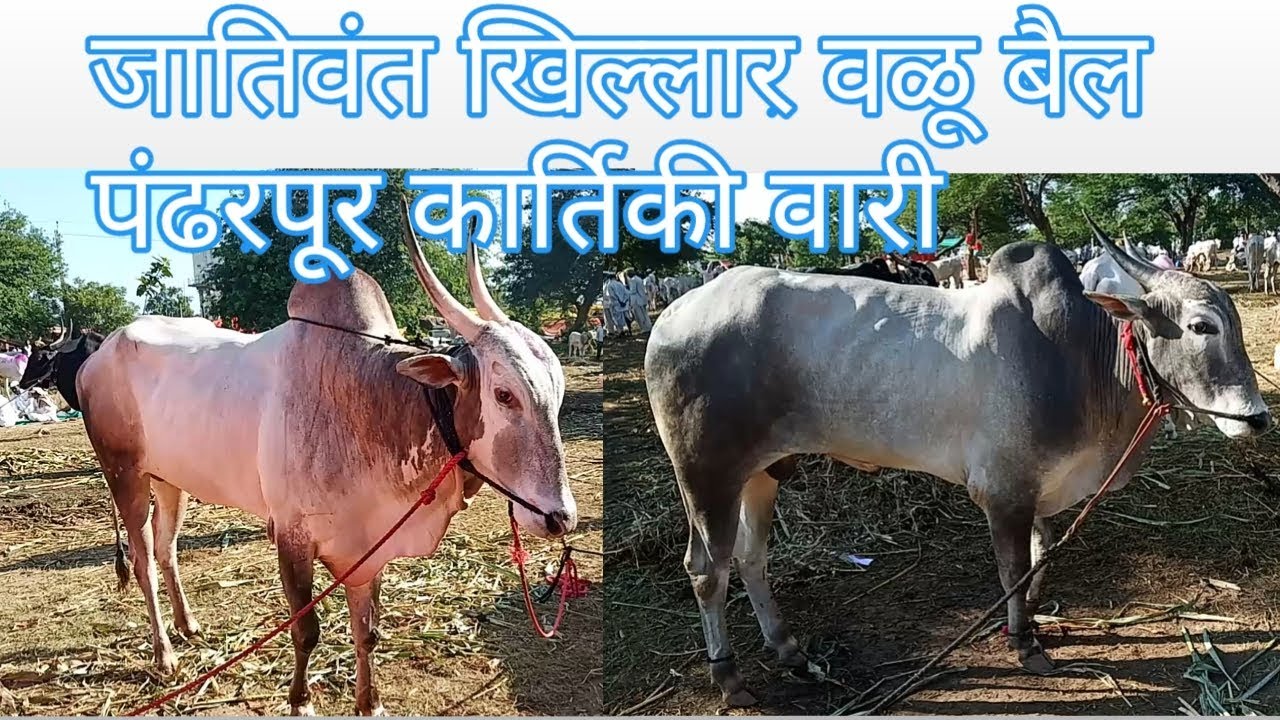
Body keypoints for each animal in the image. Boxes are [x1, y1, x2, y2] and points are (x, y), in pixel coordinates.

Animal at [75, 200, 578, 715]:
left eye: (557, 392)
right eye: (504, 394)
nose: (560, 518)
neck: (370, 402)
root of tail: (97, 355)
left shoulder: (368, 547)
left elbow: (368, 631)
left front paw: (369, 703)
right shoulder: (291, 537)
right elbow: (306, 631)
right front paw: (300, 702)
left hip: (169, 480)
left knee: (166, 548)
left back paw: (188, 625)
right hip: (124, 476)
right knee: (142, 562)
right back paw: (164, 653)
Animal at [643, 217, 1270, 706]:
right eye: (1201, 326)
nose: (1258, 419)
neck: (1078, 359)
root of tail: (672, 316)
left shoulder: (1038, 490)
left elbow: (1042, 550)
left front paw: (1035, 617)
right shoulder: (1005, 492)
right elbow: (1013, 569)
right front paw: (1025, 643)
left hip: (762, 473)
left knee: (750, 559)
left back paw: (788, 648)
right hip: (707, 476)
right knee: (707, 570)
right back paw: (729, 677)